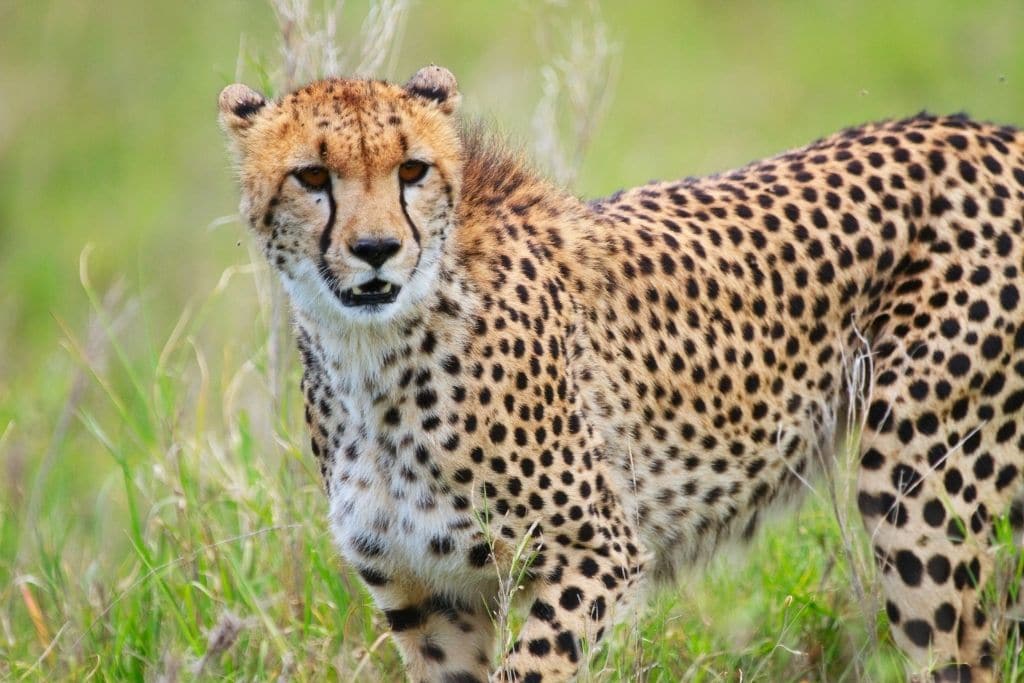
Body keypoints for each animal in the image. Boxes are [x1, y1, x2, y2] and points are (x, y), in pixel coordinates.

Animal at [218, 65, 1024, 682]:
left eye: (411, 170)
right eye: (312, 176)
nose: (378, 249)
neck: (370, 354)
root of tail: (988, 132)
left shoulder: (596, 552)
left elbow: (531, 667)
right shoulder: (429, 598)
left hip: (920, 493)